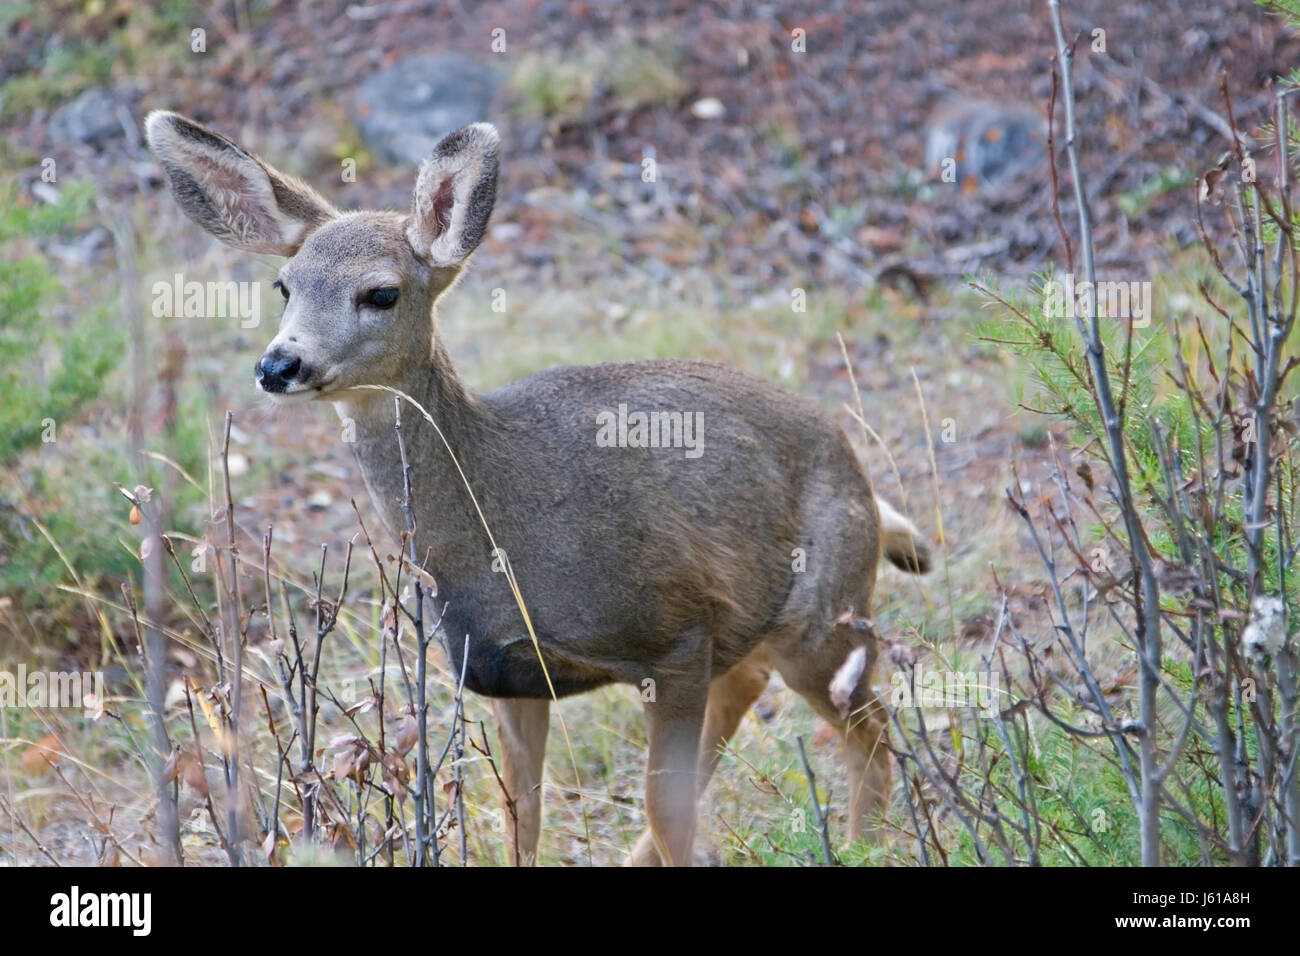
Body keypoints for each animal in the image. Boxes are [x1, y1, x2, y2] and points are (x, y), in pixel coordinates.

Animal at [144, 111, 931, 866]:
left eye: (381, 293)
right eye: (285, 286)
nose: (279, 365)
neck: (502, 524)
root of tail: (860, 475)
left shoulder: (675, 634)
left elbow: (667, 811)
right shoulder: (504, 672)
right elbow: (520, 821)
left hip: (824, 608)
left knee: (871, 734)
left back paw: (863, 846)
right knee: (755, 689)